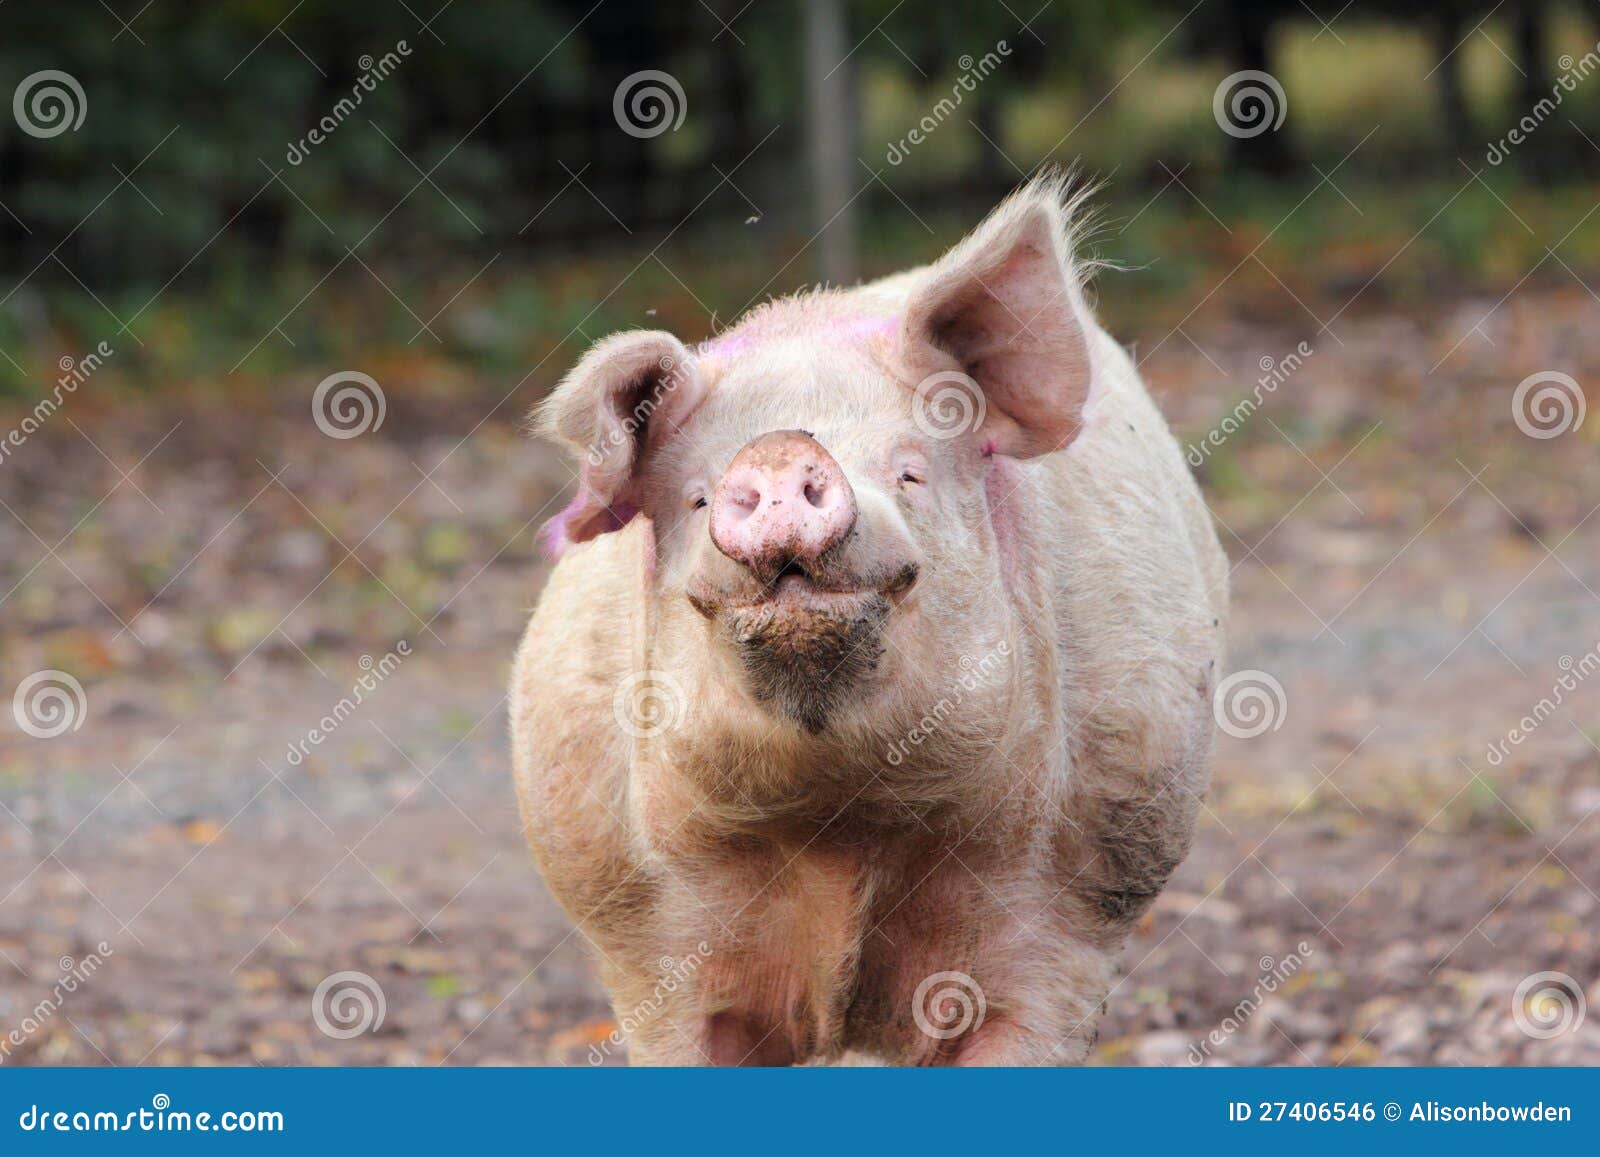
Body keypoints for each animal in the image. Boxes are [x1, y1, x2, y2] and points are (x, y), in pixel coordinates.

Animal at [510, 173, 1228, 1065]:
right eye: (697, 497)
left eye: (910, 473)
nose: (782, 449)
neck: (842, 829)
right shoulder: (646, 945)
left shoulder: (1073, 925)